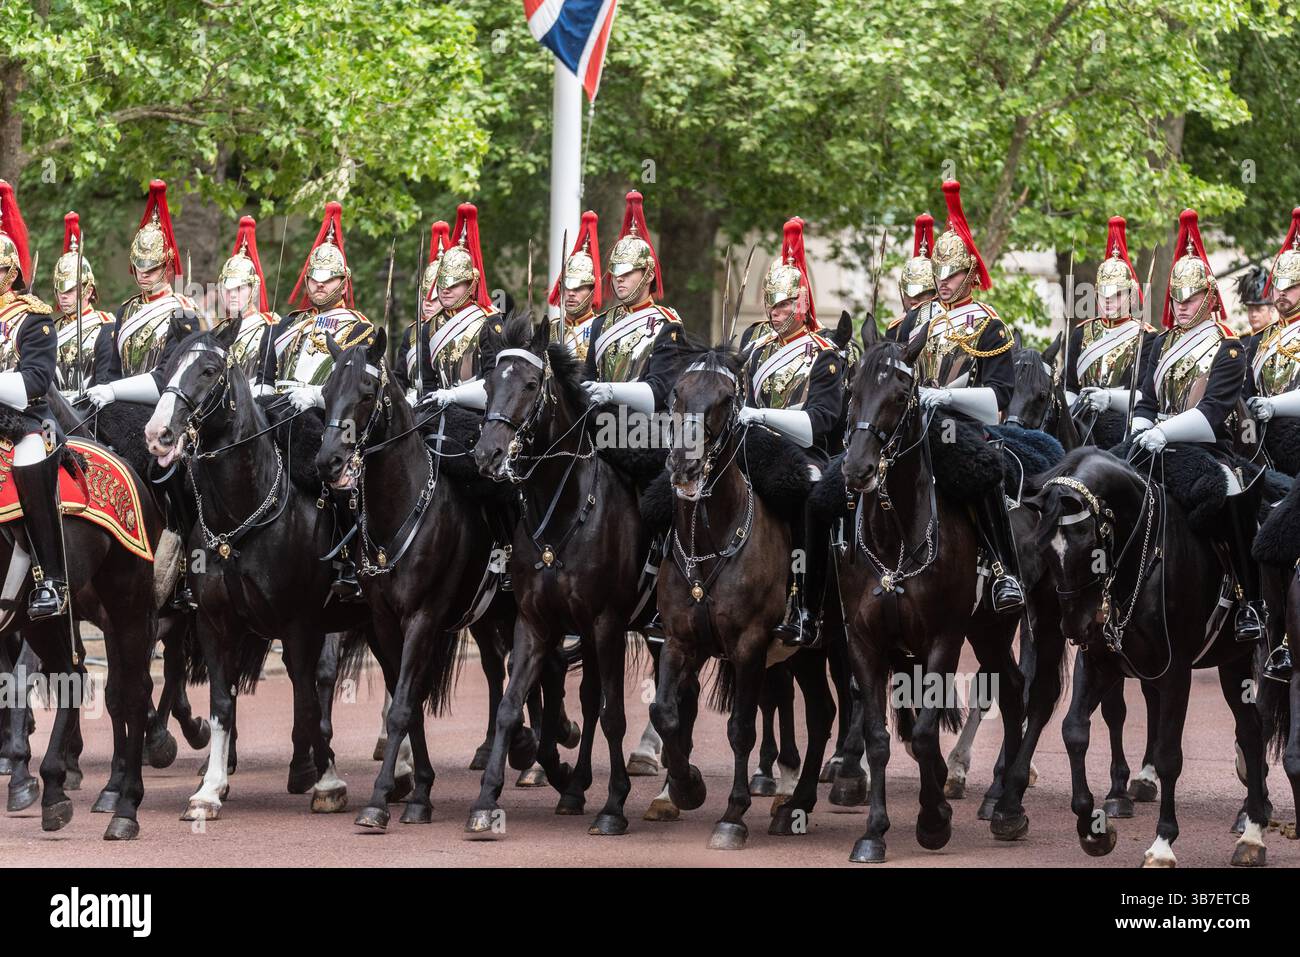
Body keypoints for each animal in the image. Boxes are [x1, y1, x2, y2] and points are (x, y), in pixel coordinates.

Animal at [142, 320, 371, 821]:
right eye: (166, 368)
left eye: (209, 370)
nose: (158, 435)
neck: (241, 516)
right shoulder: (213, 624)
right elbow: (222, 702)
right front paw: (209, 789)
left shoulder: (300, 624)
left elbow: (307, 694)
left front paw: (326, 780)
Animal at [470, 313, 653, 837]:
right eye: (488, 383)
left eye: (531, 385)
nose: (488, 456)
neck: (565, 509)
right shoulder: (535, 622)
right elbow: (511, 703)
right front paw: (487, 799)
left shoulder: (608, 623)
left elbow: (615, 714)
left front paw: (614, 805)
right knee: (589, 697)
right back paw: (574, 787)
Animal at [651, 348, 835, 849]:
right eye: (677, 392)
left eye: (727, 397)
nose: (685, 466)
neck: (708, 540)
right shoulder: (679, 641)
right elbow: (666, 712)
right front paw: (685, 786)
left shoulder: (749, 646)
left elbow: (740, 728)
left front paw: (732, 815)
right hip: (804, 656)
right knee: (822, 713)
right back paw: (796, 804)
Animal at [835, 327, 1028, 862]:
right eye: (852, 390)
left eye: (902, 396)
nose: (857, 470)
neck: (895, 537)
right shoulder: (864, 642)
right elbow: (879, 736)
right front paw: (874, 832)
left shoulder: (945, 637)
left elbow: (922, 732)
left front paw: (933, 821)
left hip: (991, 631)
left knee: (1014, 691)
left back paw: (1005, 805)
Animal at [1029, 447, 1271, 866]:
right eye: (1045, 549)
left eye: (1088, 544)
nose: (1076, 627)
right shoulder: (1099, 663)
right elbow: (1074, 730)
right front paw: (1092, 828)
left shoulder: (1176, 673)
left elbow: (1169, 754)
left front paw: (1163, 843)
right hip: (1232, 661)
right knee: (1251, 731)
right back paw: (1251, 834)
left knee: (1254, 731)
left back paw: (1253, 830)